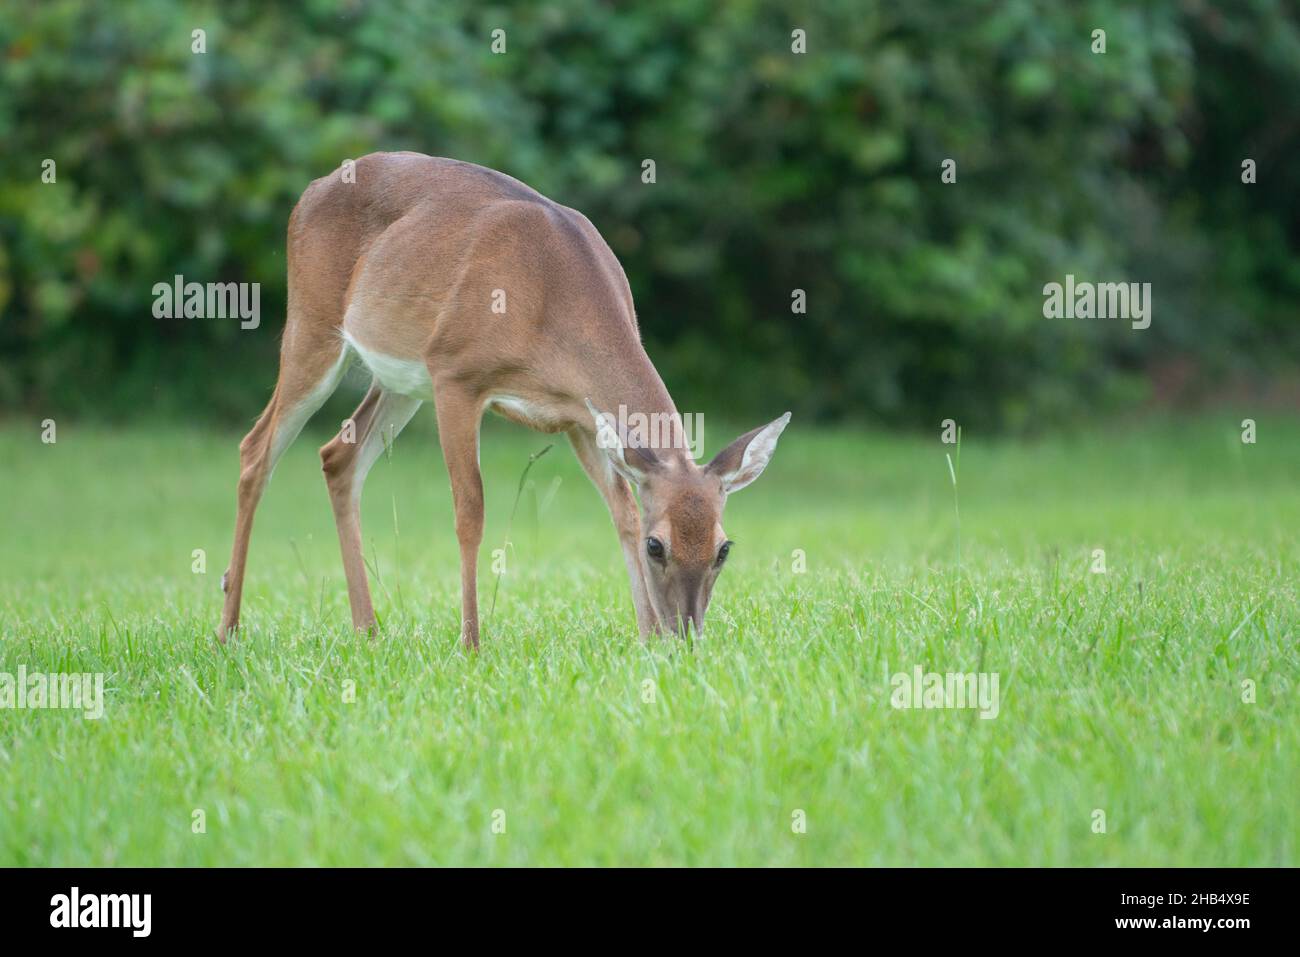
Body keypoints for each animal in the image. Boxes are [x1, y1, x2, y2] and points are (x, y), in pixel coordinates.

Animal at [218, 152, 790, 648]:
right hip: (312, 327)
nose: (687, 635)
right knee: (255, 448)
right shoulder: (456, 374)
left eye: (723, 548)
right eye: (659, 545)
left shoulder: (581, 420)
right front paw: (471, 643)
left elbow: (622, 510)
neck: (551, 301)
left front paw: (646, 636)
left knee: (338, 456)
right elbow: (470, 511)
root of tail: (309, 192)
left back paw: (368, 631)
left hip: (399, 379)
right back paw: (228, 629)